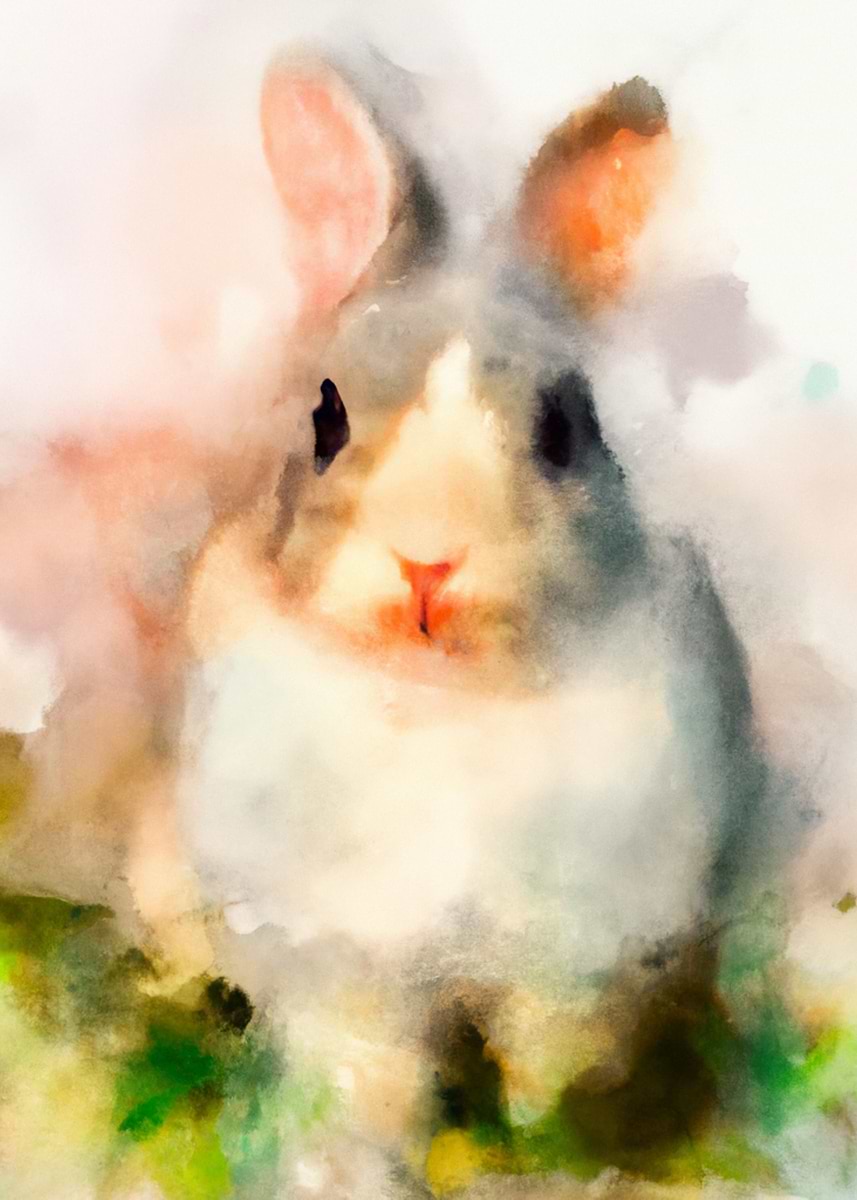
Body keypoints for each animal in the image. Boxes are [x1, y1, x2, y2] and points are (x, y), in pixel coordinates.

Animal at [170, 48, 773, 1198]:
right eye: (324, 419)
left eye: (564, 427)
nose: (427, 559)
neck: (438, 693)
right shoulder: (337, 957)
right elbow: (363, 1074)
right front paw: (342, 1164)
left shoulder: (579, 955)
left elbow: (550, 1060)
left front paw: (543, 1145)